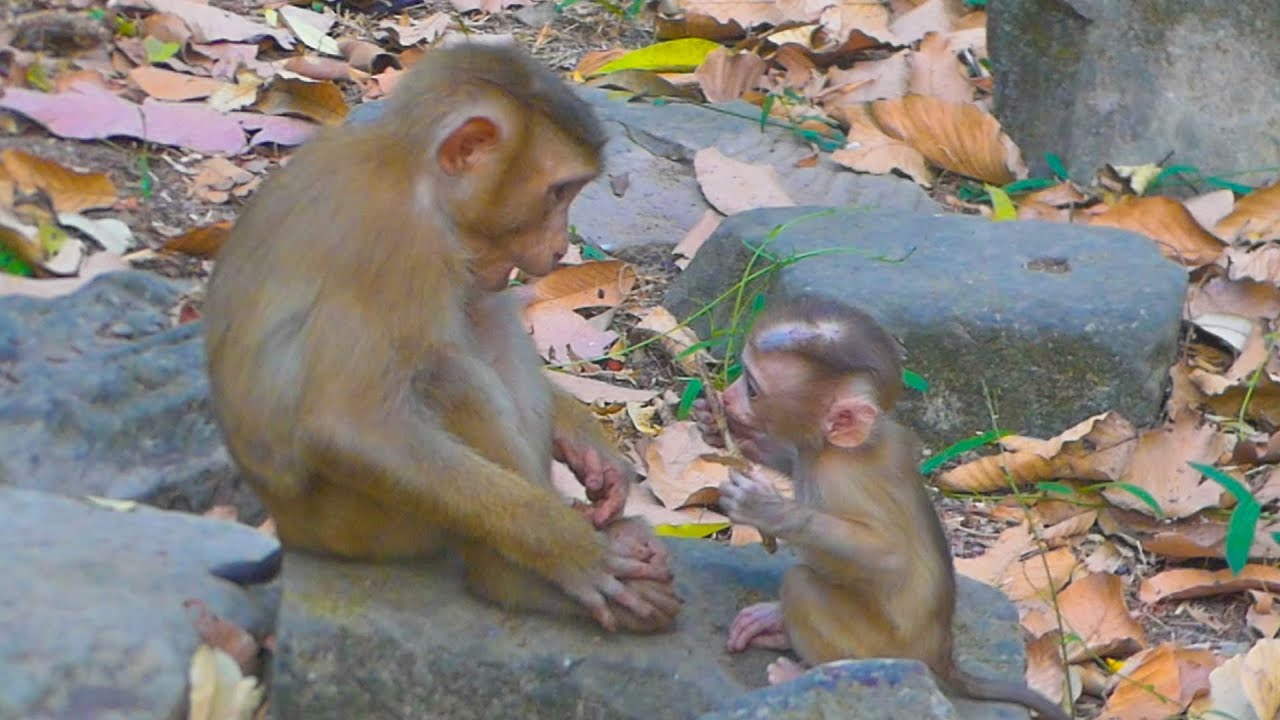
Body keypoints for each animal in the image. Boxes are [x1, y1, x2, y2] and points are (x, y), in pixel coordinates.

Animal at [204, 40, 679, 634]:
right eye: (558, 193)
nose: (558, 250)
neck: (411, 171)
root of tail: (287, 530)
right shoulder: (396, 247)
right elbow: (348, 426)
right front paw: (574, 549)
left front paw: (589, 447)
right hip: (364, 524)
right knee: (448, 375)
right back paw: (512, 581)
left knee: (484, 315)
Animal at [693, 295, 1069, 719]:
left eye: (753, 389)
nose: (727, 397)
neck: (843, 447)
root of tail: (941, 654)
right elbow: (791, 457)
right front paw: (717, 425)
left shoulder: (839, 478)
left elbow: (886, 555)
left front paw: (763, 507)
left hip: (882, 648)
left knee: (801, 583)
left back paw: (800, 669)